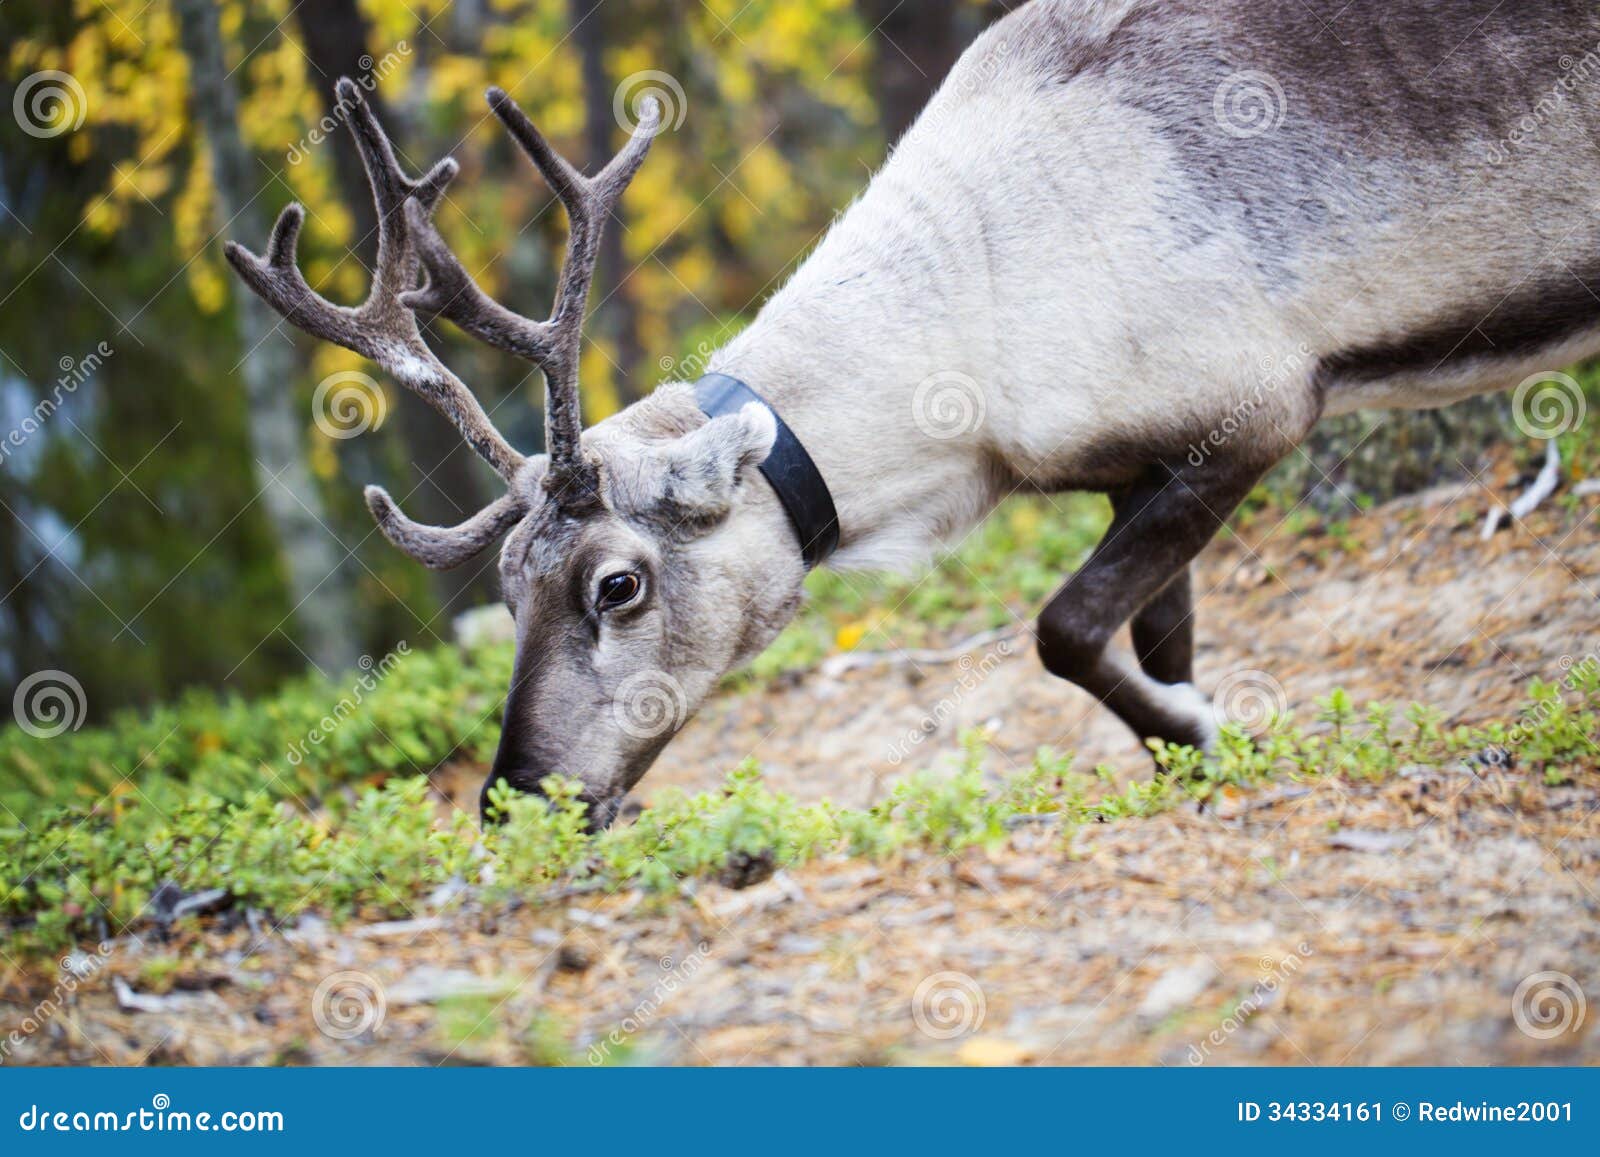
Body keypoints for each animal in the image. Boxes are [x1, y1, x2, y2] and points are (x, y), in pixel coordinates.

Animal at [229, 0, 1600, 826]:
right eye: (506, 588)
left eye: (616, 582)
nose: (515, 799)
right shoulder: (1136, 465)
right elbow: (1156, 639)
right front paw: (1198, 745)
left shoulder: (1260, 405)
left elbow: (1061, 627)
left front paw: (1210, 731)